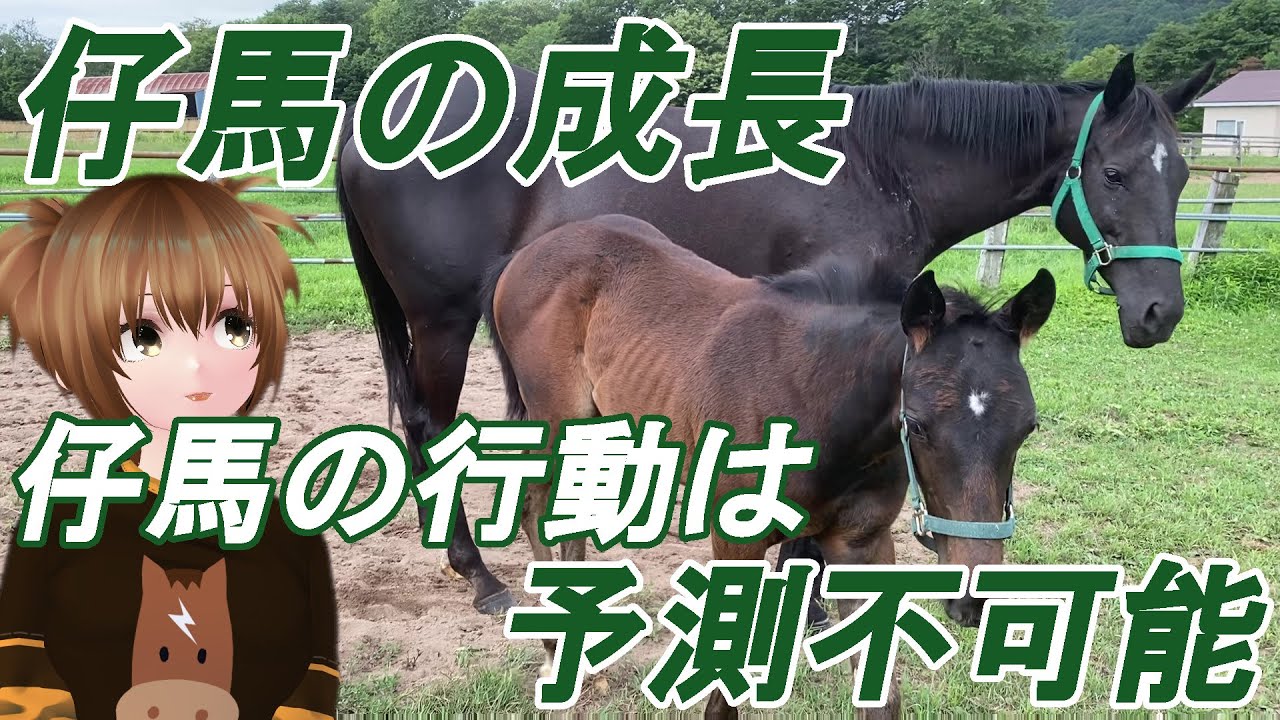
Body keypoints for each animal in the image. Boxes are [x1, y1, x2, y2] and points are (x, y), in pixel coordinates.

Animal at [333, 52, 1212, 617]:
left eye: (1181, 174)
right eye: (1114, 174)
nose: (1158, 313)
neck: (878, 169)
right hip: (441, 322)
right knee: (430, 428)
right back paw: (478, 575)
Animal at [480, 213, 1056, 717]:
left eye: (1027, 427)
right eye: (916, 425)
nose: (975, 602)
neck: (816, 402)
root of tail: (522, 255)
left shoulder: (861, 544)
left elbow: (883, 698)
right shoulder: (737, 543)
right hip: (560, 419)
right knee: (545, 513)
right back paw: (557, 649)